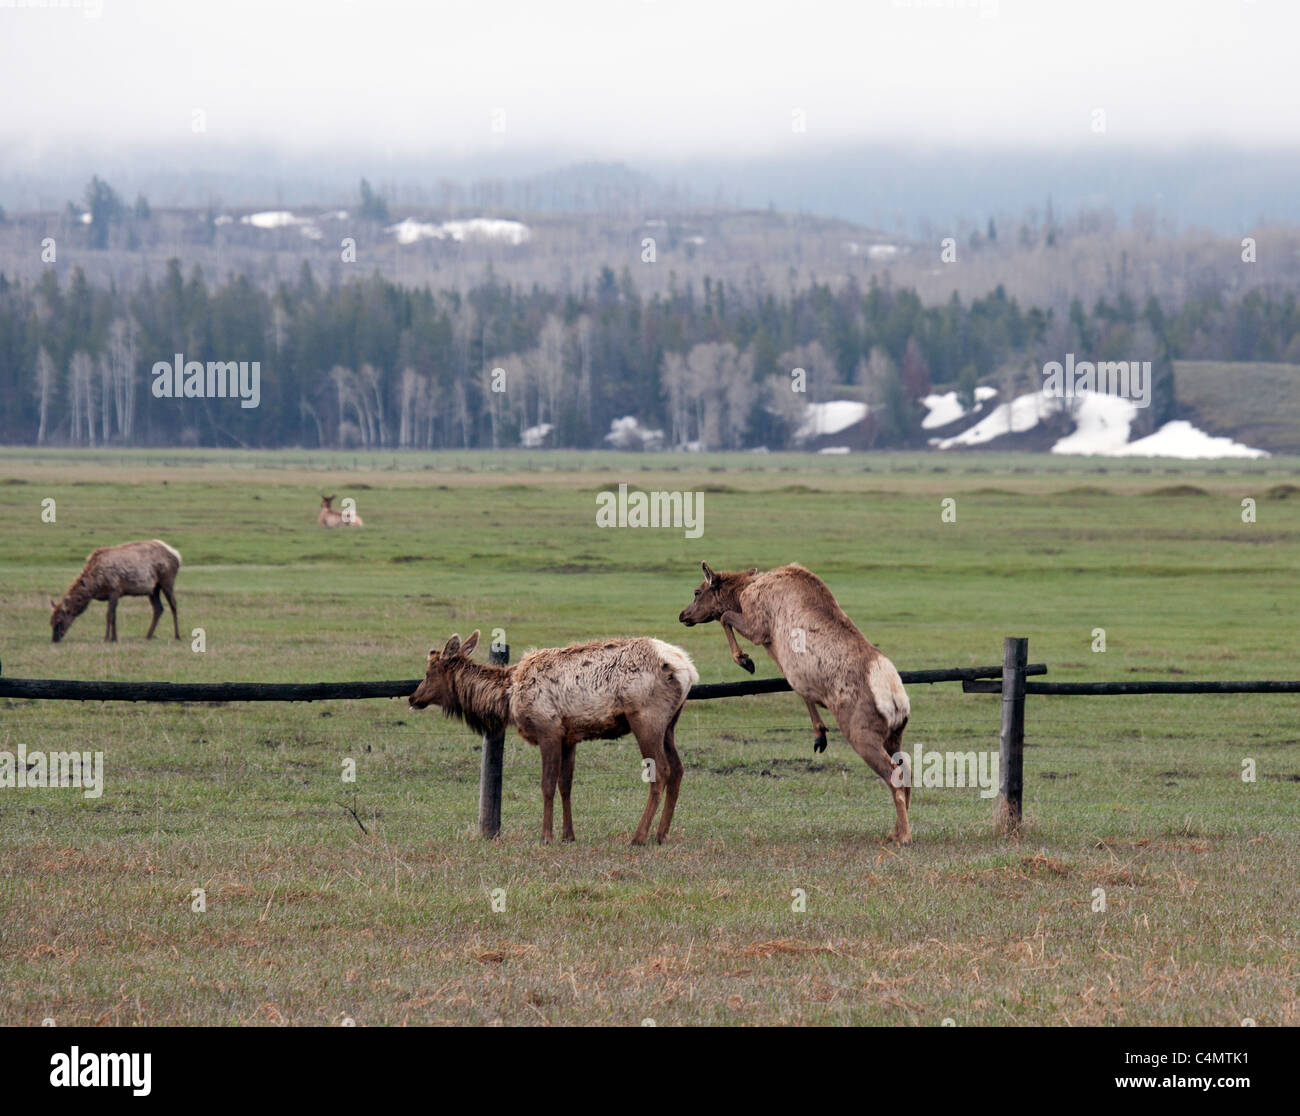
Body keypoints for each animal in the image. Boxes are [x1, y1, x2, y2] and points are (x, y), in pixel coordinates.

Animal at [50, 539, 182, 644]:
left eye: (59, 621)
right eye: (51, 622)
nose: (54, 639)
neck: (95, 585)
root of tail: (177, 556)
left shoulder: (114, 589)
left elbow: (109, 615)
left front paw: (106, 638)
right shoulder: (114, 594)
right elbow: (114, 616)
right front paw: (114, 638)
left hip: (167, 581)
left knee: (173, 605)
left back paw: (177, 636)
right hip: (153, 588)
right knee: (158, 608)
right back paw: (148, 635)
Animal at [409, 630, 698, 845]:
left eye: (428, 672)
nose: (413, 698)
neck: (508, 697)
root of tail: (688, 671)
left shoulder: (548, 729)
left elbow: (547, 785)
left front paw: (546, 836)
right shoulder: (569, 737)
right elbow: (565, 785)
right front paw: (568, 835)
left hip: (646, 718)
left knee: (661, 771)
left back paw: (639, 837)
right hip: (670, 724)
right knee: (678, 769)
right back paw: (661, 835)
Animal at [678, 561, 914, 844]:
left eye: (696, 591)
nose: (682, 615)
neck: (742, 591)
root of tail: (896, 697)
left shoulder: (758, 626)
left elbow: (724, 617)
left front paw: (745, 660)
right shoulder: (786, 661)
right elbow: (801, 691)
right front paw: (819, 734)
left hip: (861, 733)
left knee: (894, 774)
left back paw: (903, 835)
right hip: (894, 734)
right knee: (908, 768)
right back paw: (897, 829)